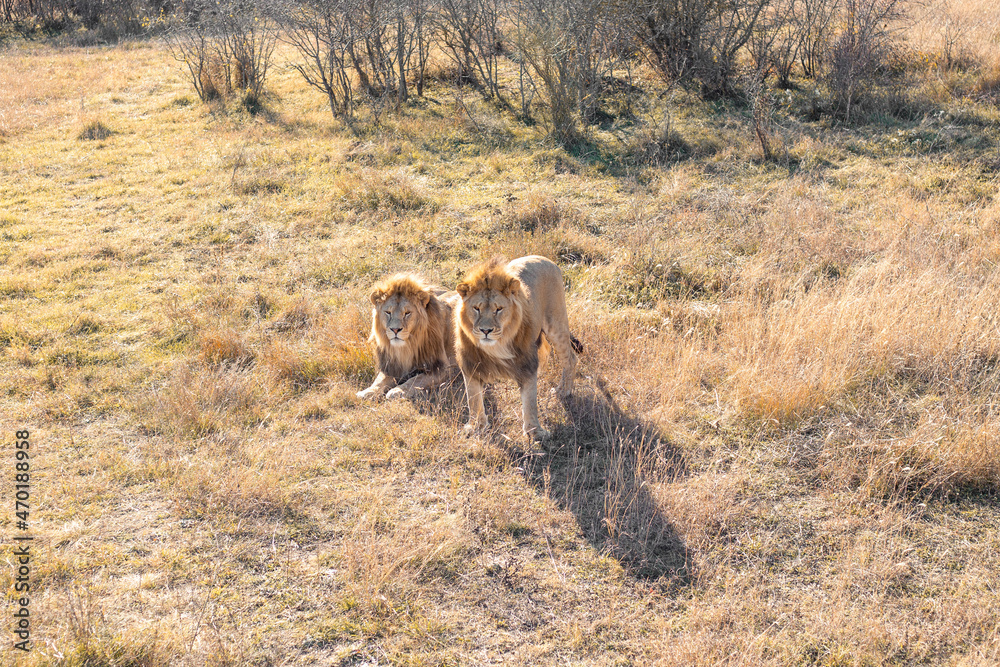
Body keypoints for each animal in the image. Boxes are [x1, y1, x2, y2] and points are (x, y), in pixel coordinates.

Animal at [455, 255, 583, 440]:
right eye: (476, 308)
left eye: (499, 309)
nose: (485, 330)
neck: (497, 346)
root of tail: (544, 258)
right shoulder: (470, 365)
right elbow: (474, 399)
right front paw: (476, 427)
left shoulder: (527, 364)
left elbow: (530, 401)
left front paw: (535, 432)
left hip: (556, 325)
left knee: (570, 358)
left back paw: (563, 391)